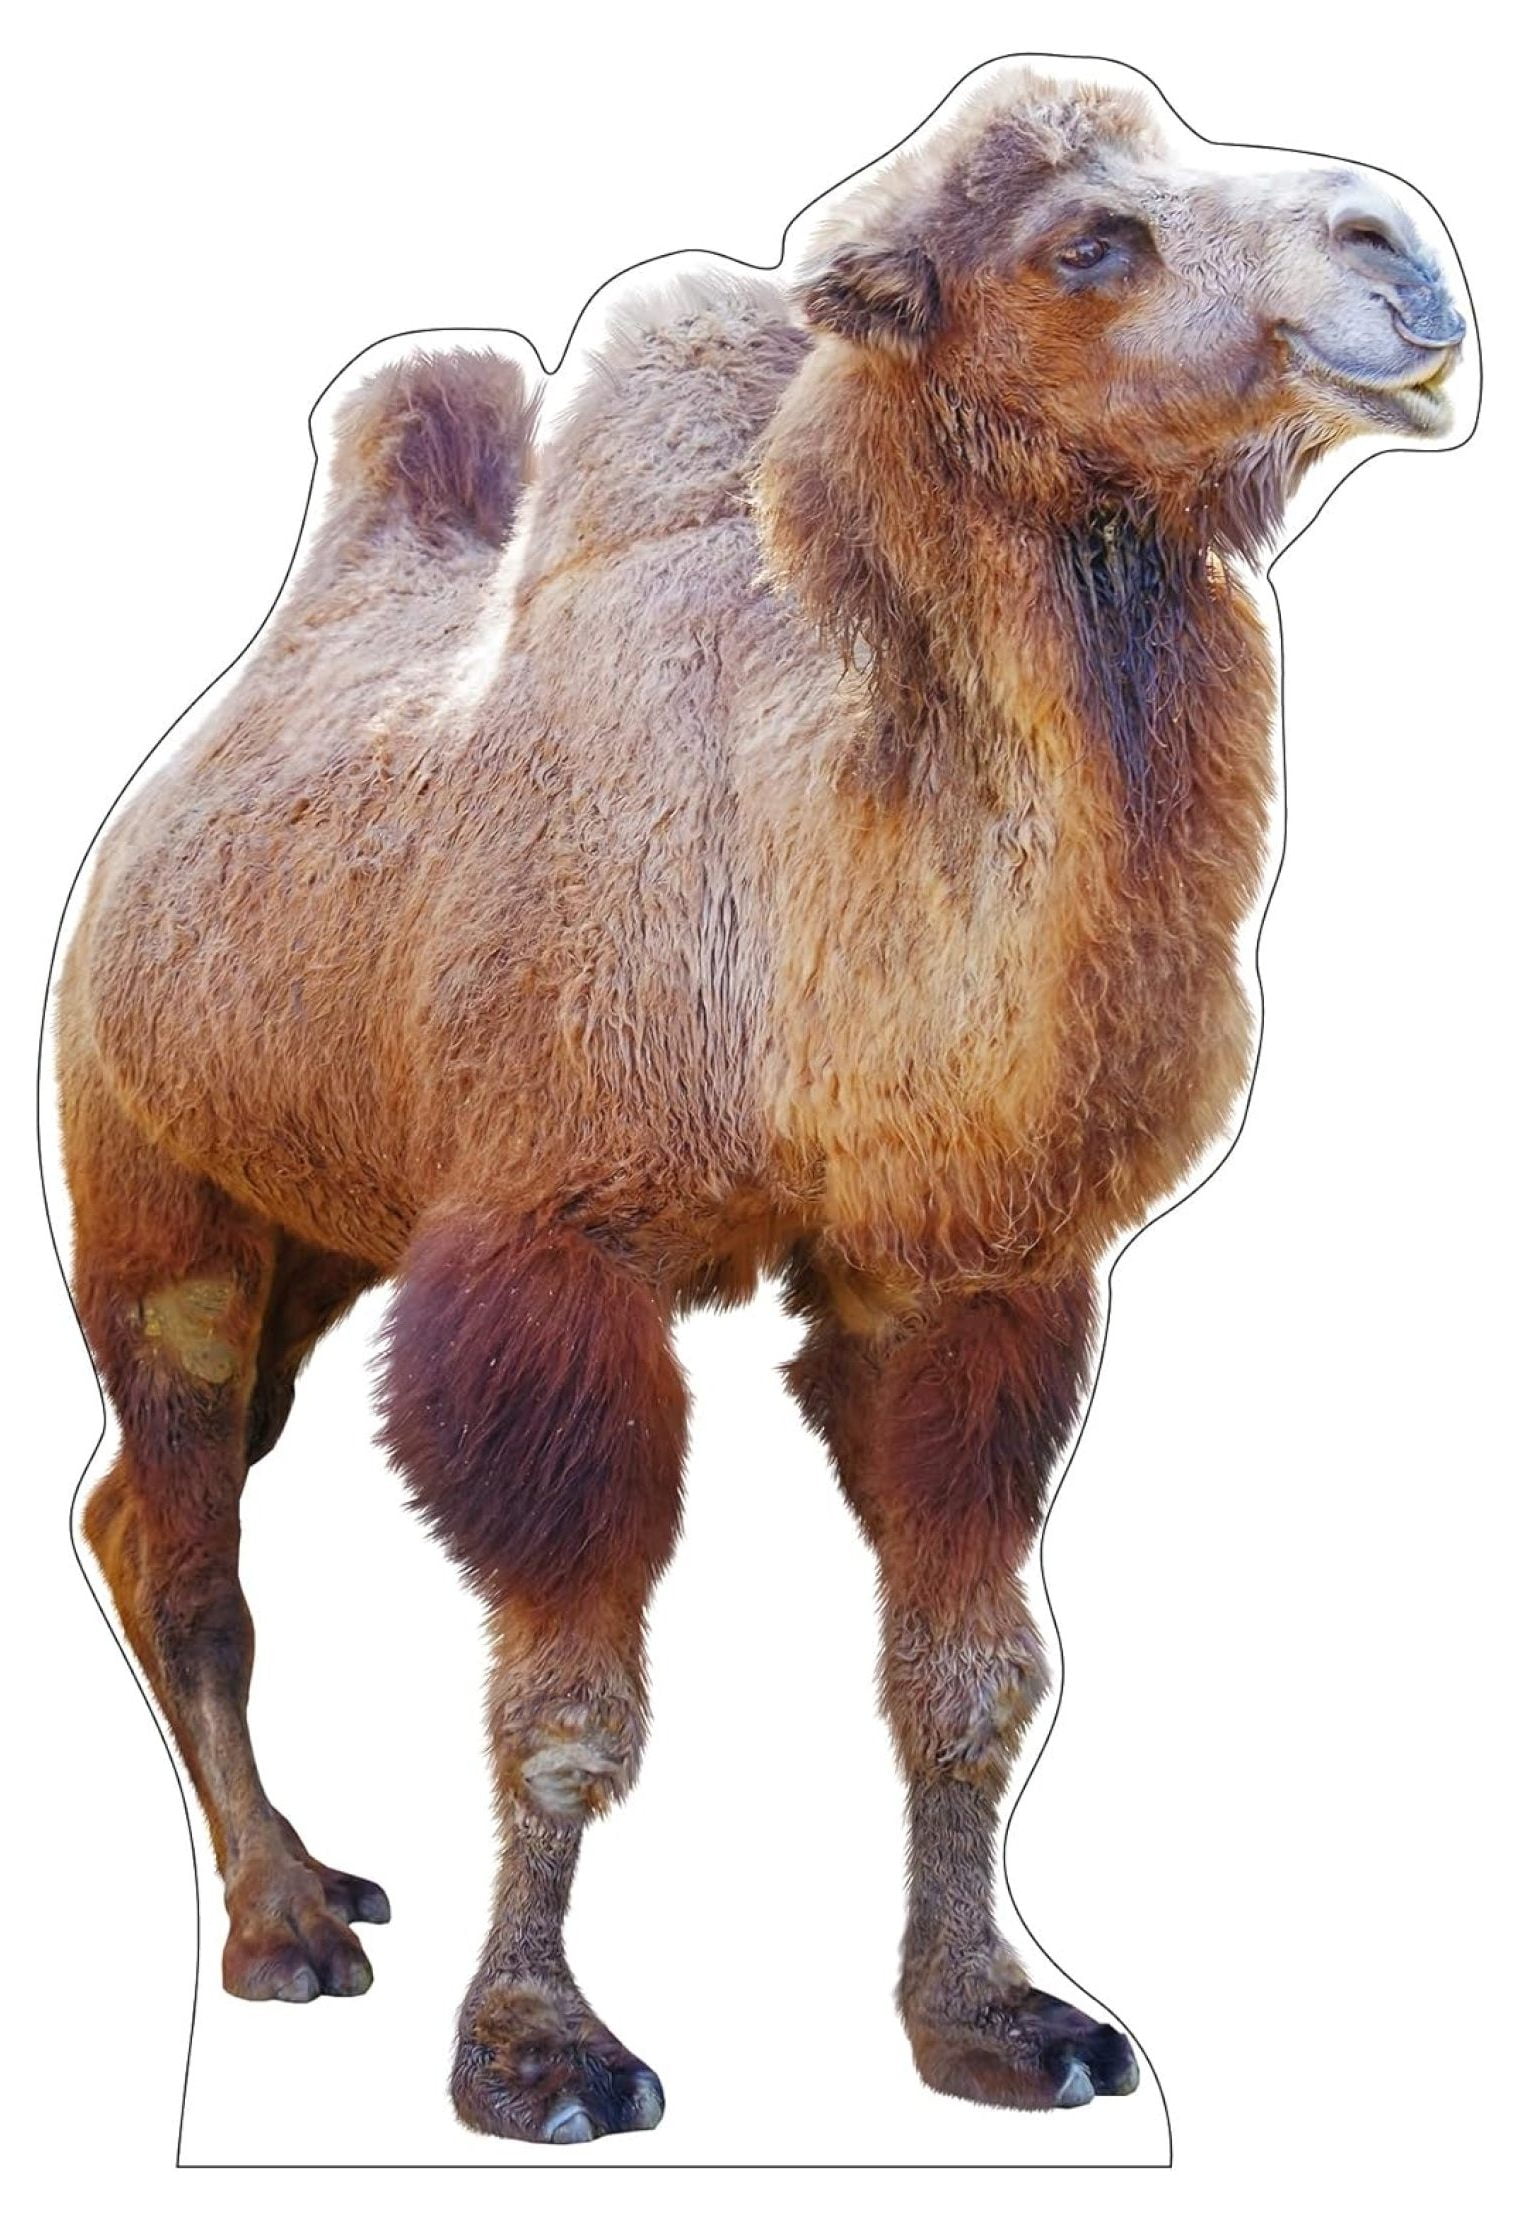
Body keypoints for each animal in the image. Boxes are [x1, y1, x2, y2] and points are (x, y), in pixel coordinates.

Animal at [55, 66, 1466, 2143]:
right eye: (1089, 241)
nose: (1404, 253)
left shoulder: (969, 1268)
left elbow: (971, 1677)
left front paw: (996, 2019)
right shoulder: (548, 1249)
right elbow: (568, 1704)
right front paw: (537, 2050)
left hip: (322, 1224)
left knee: (129, 1506)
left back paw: (306, 1875)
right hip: (155, 1188)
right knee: (189, 1546)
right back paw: (284, 1924)